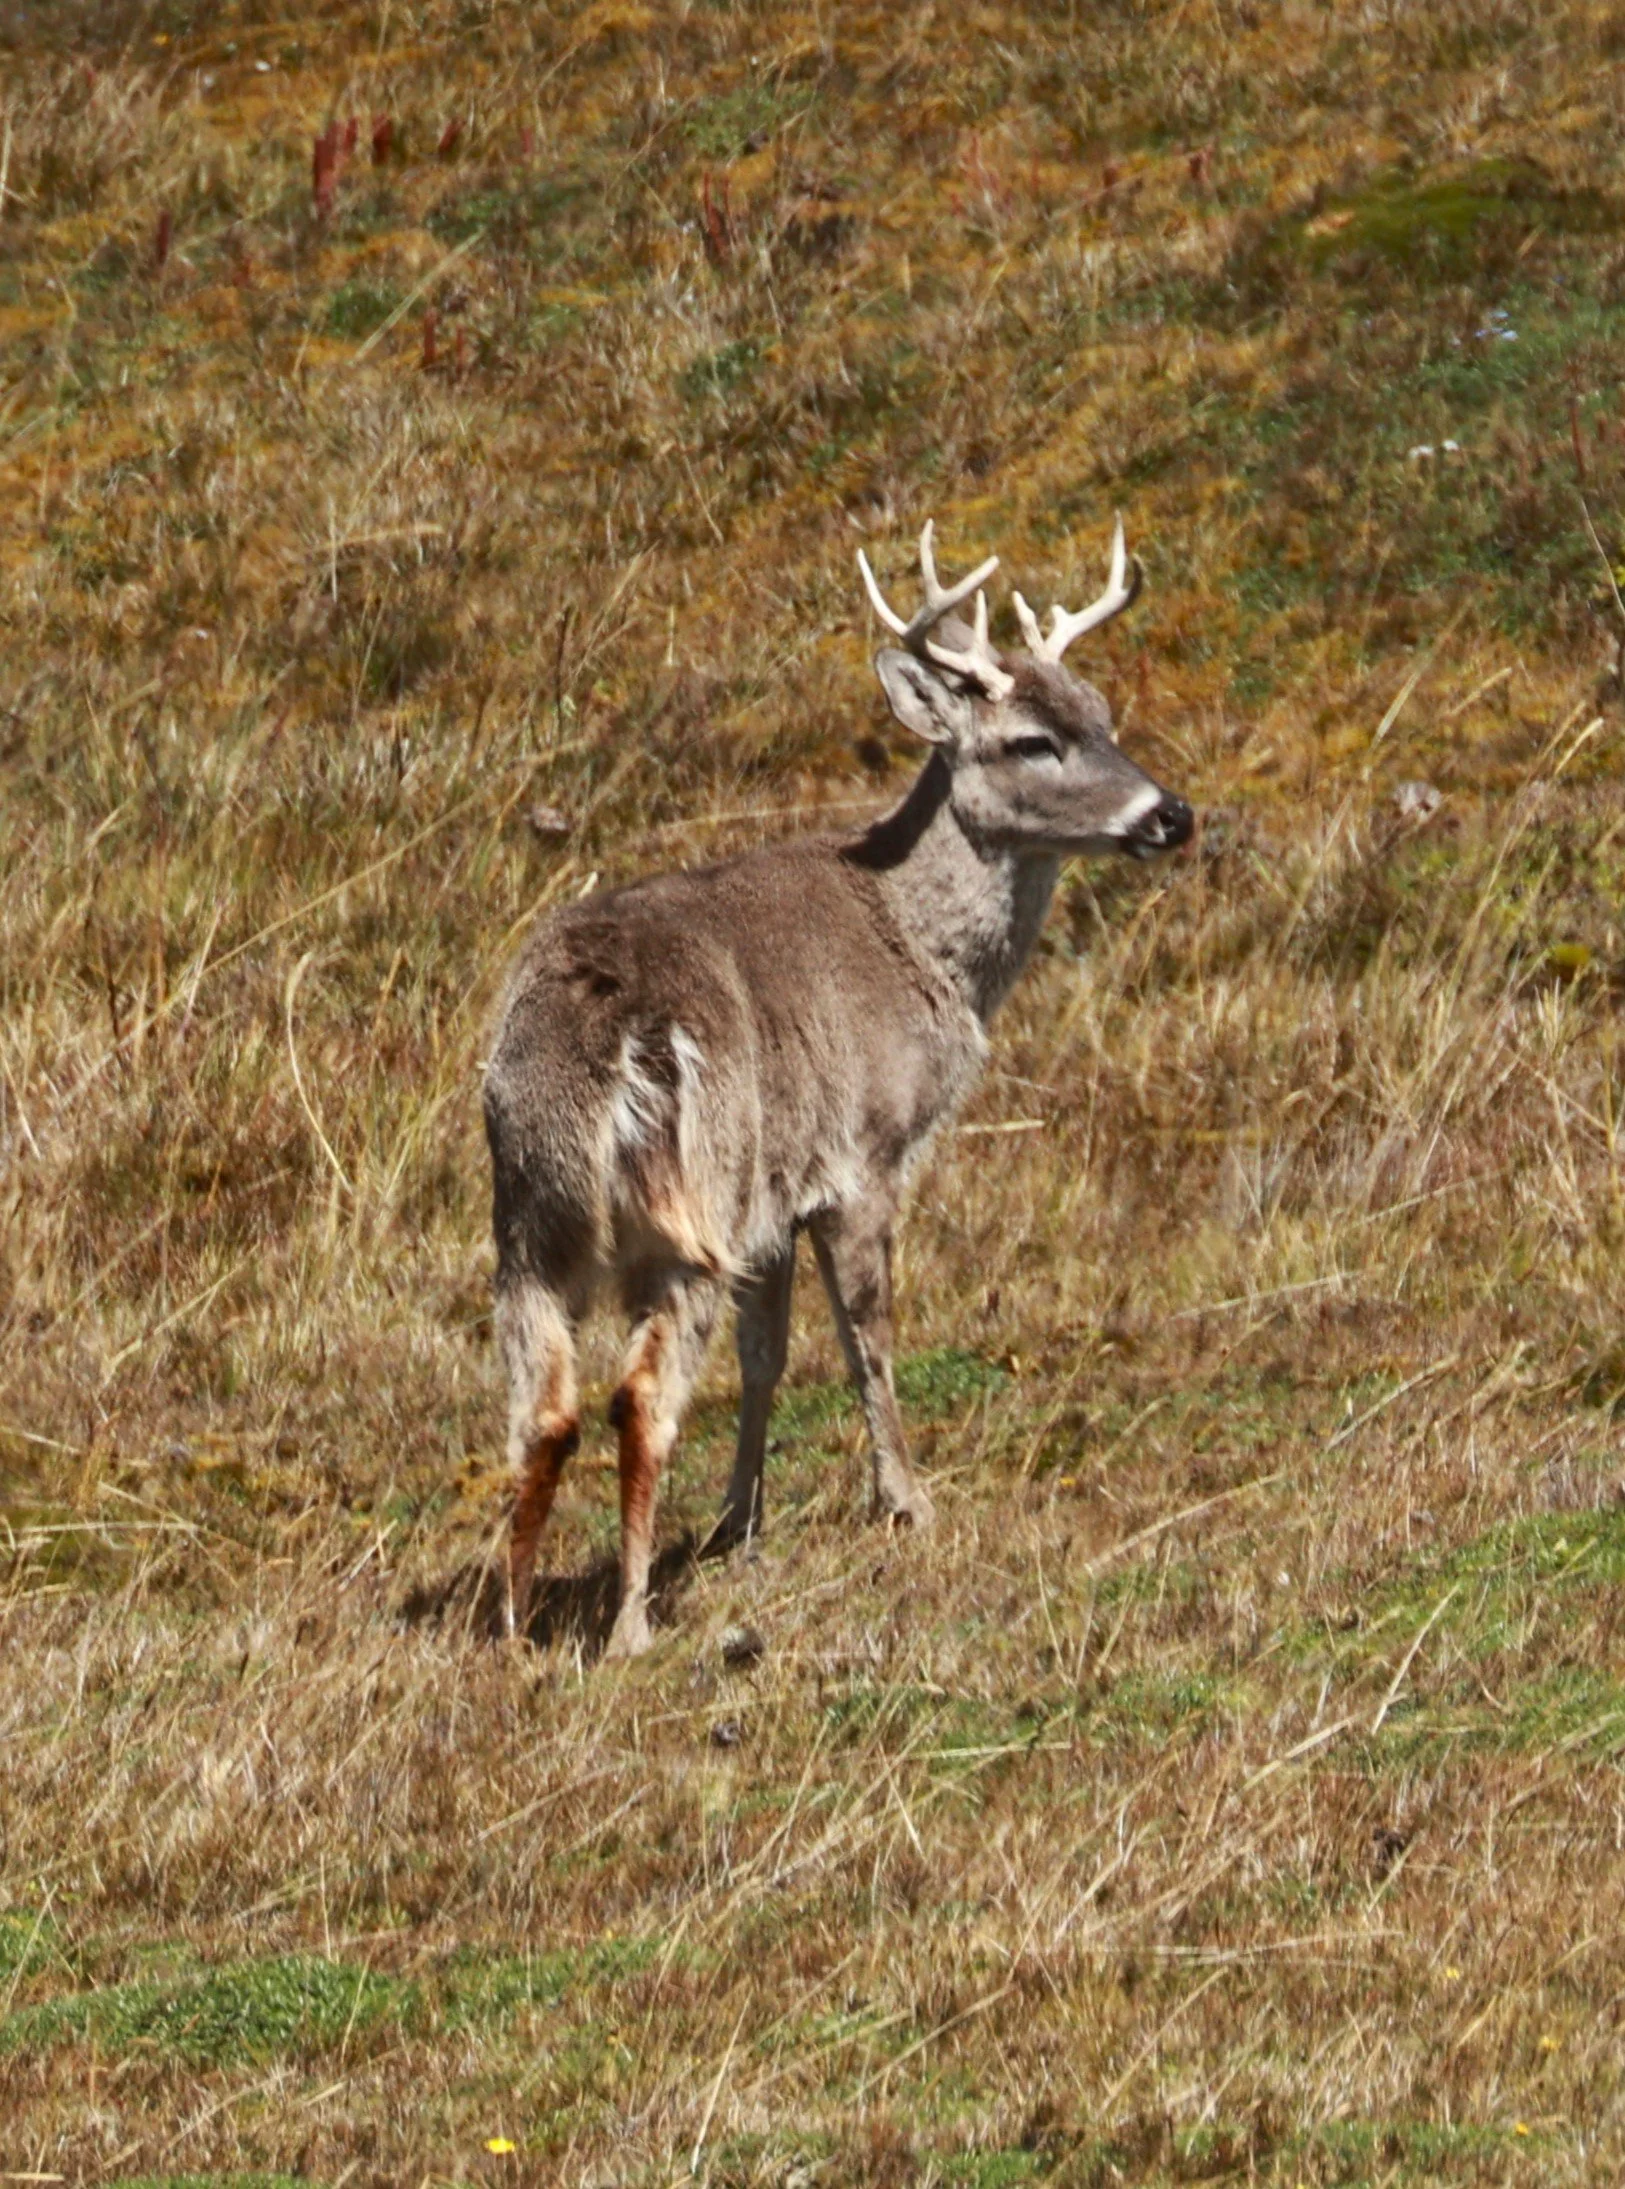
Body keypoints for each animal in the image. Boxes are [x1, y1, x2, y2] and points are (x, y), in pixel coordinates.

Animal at [483, 520, 1193, 1657]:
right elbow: (868, 1338)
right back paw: (631, 1624)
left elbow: (767, 1355)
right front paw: (907, 1500)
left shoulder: (772, 1203)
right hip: (690, 1206)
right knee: (636, 1400)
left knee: (541, 1410)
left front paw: (740, 1525)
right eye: (1030, 742)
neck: (917, 946)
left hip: (531, 1217)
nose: (1172, 814)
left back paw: (510, 1623)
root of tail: (608, 1046)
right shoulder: (861, 1157)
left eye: (1102, 715)